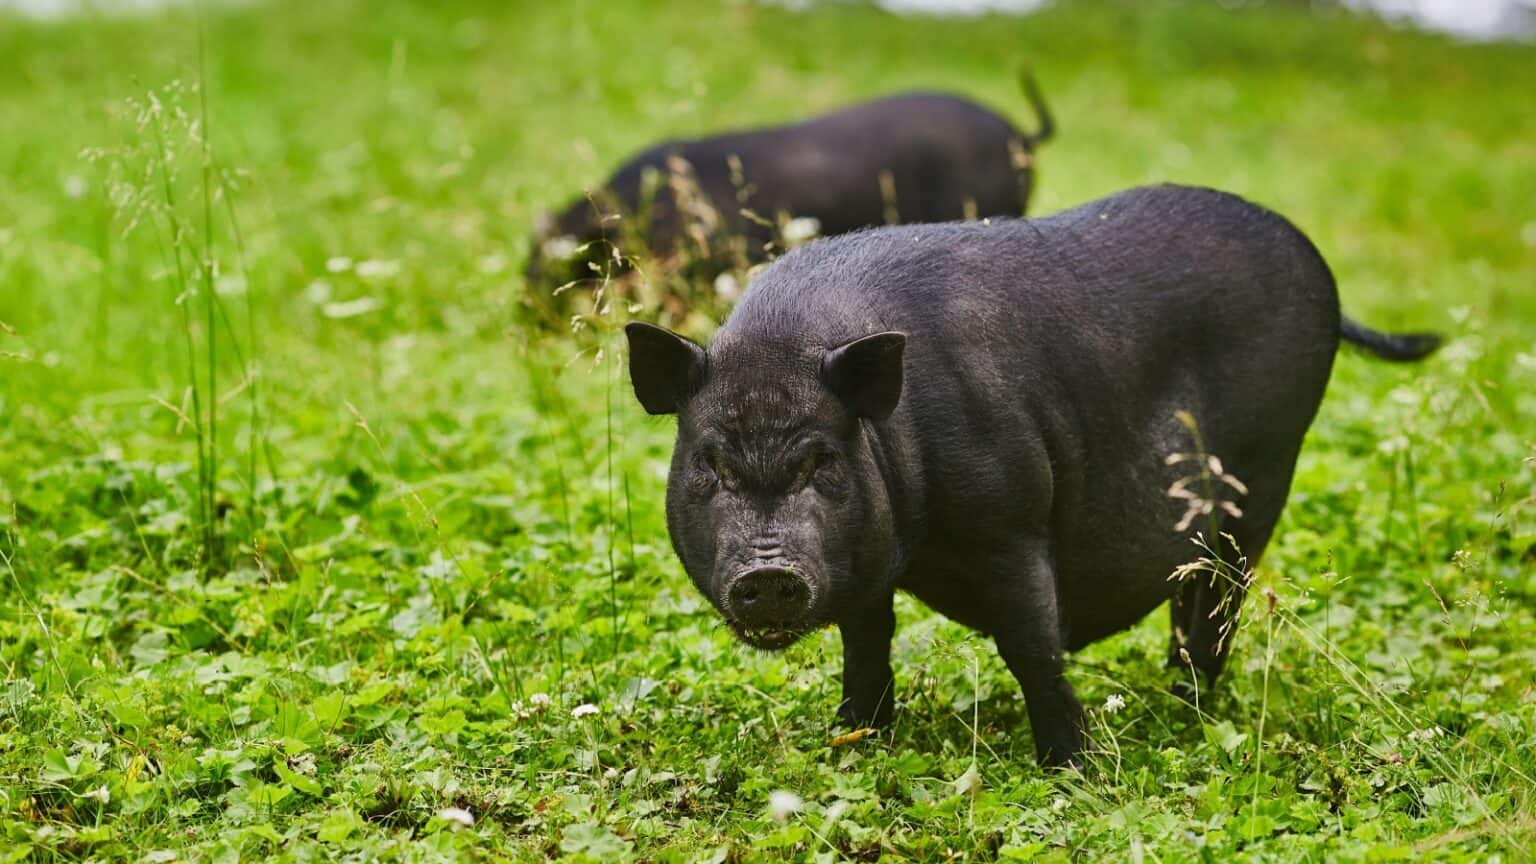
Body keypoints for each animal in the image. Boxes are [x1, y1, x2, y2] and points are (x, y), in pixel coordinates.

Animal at [624, 184, 1441, 766]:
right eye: (709, 462)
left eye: (822, 459)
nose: (769, 572)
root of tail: (1314, 261)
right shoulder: (868, 560)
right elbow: (867, 642)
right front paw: (851, 739)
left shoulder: (1012, 517)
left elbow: (1031, 645)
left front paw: (1072, 769)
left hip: (1265, 467)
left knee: (1216, 595)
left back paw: (1189, 710)